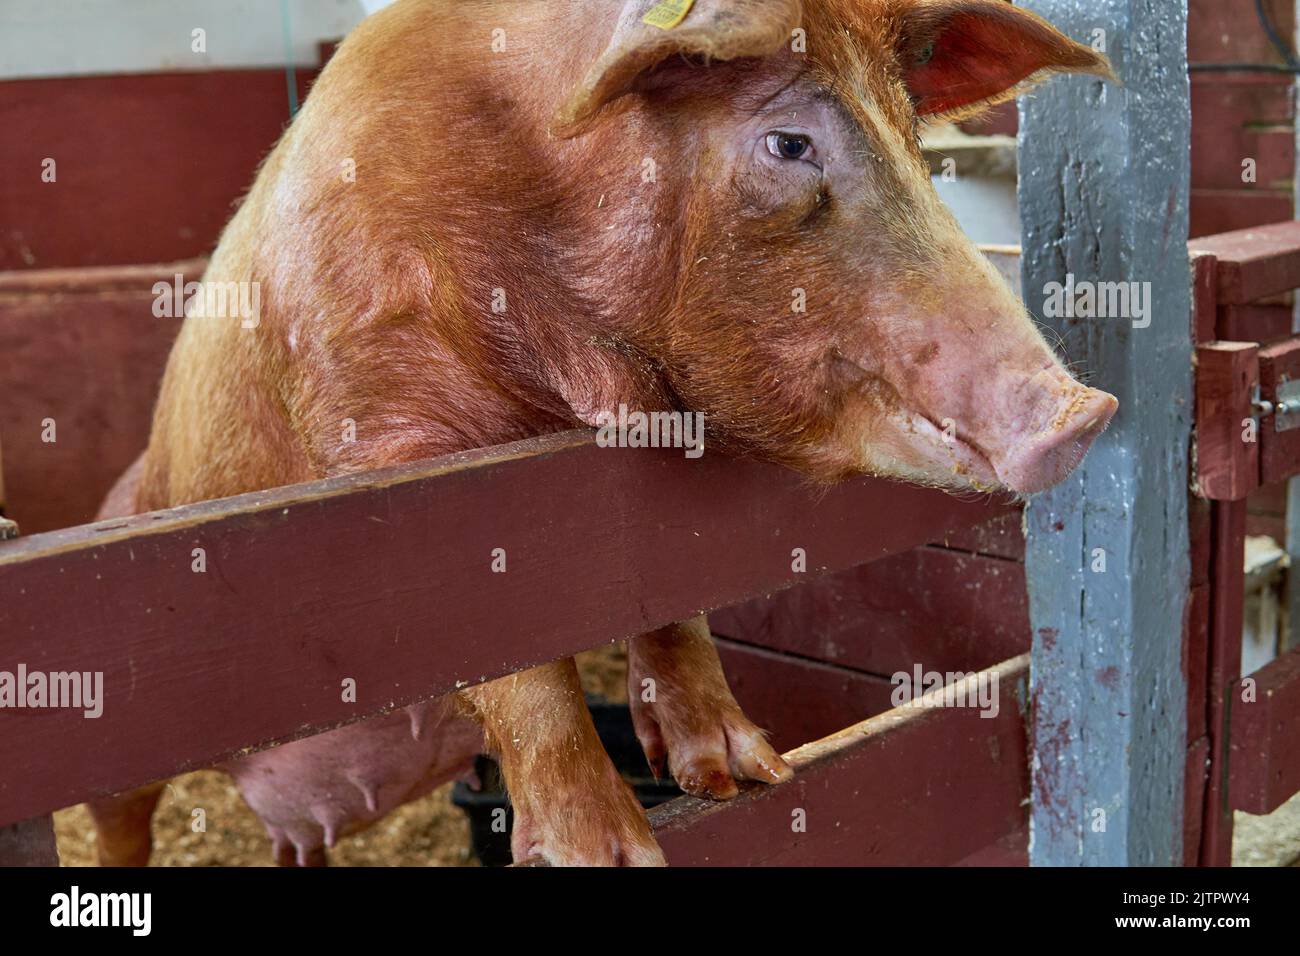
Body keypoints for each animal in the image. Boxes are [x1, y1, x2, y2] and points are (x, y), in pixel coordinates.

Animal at [88, 0, 1115, 867]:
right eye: (790, 141)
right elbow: (517, 659)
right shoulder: (388, 432)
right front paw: (607, 856)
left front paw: (744, 773)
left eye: (912, 132)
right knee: (120, 823)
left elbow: (666, 595)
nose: (1088, 412)